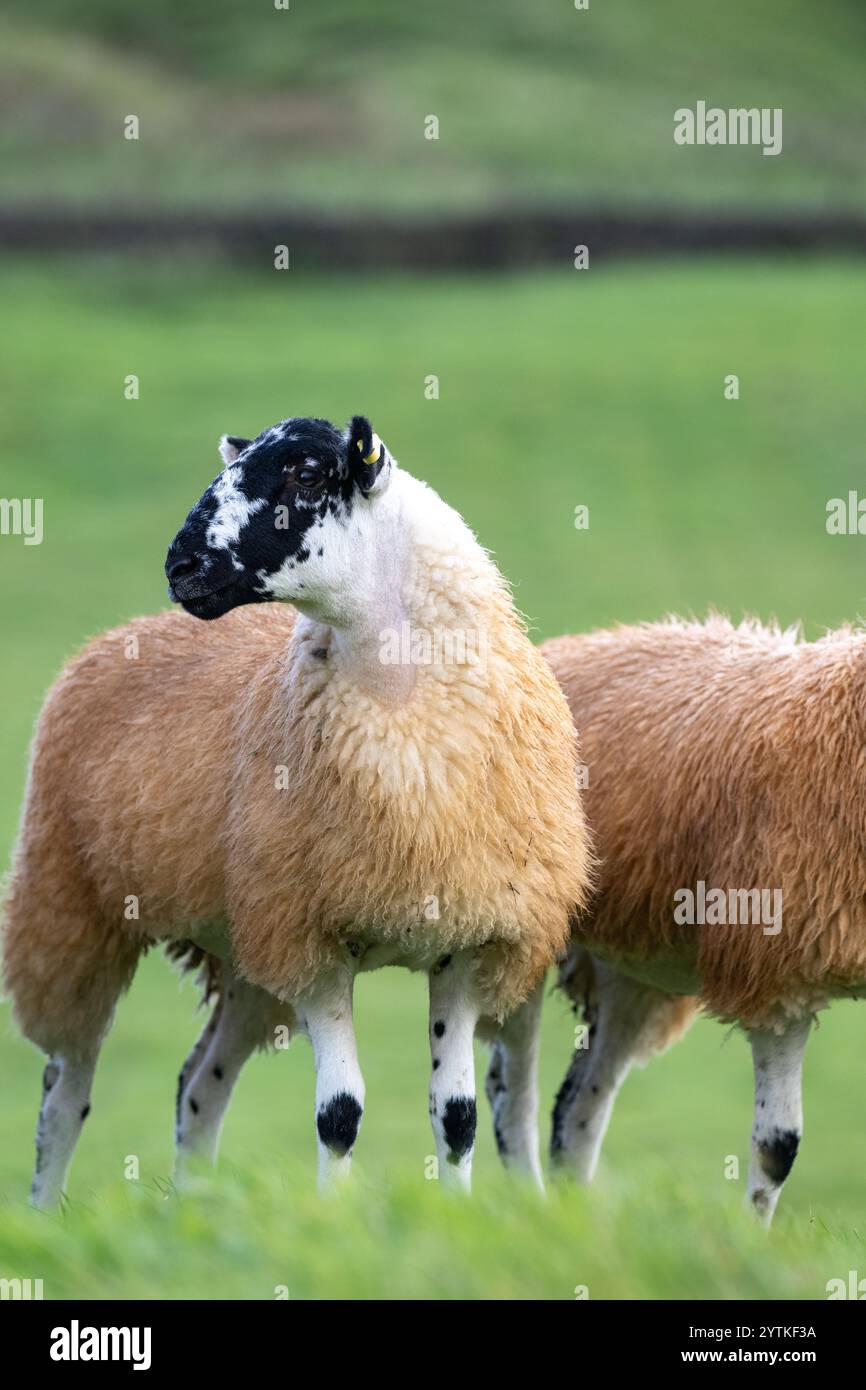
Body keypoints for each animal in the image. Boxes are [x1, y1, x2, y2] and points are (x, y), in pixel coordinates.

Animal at [2, 413, 591, 1206]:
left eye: (306, 474)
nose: (181, 565)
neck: (403, 718)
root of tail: (117, 636)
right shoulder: (313, 942)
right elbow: (340, 1113)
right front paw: (333, 1218)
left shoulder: (470, 939)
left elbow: (457, 1116)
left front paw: (456, 1213)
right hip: (72, 910)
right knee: (64, 1091)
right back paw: (43, 1212)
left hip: (242, 944)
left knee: (199, 1084)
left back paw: (195, 1208)